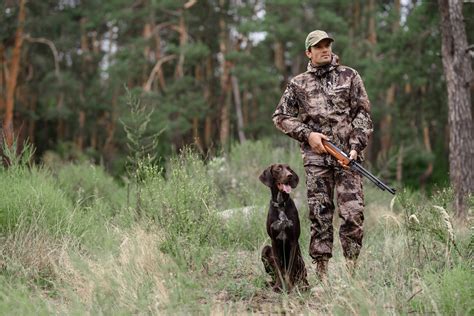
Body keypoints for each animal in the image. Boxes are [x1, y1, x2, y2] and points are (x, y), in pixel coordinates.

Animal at [258, 164, 310, 292]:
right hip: (266, 249)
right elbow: (279, 270)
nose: (290, 175)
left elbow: (289, 270)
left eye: (289, 169)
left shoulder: (293, 242)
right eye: (278, 169)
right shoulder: (274, 242)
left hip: (299, 259)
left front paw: (289, 287)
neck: (281, 204)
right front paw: (278, 286)